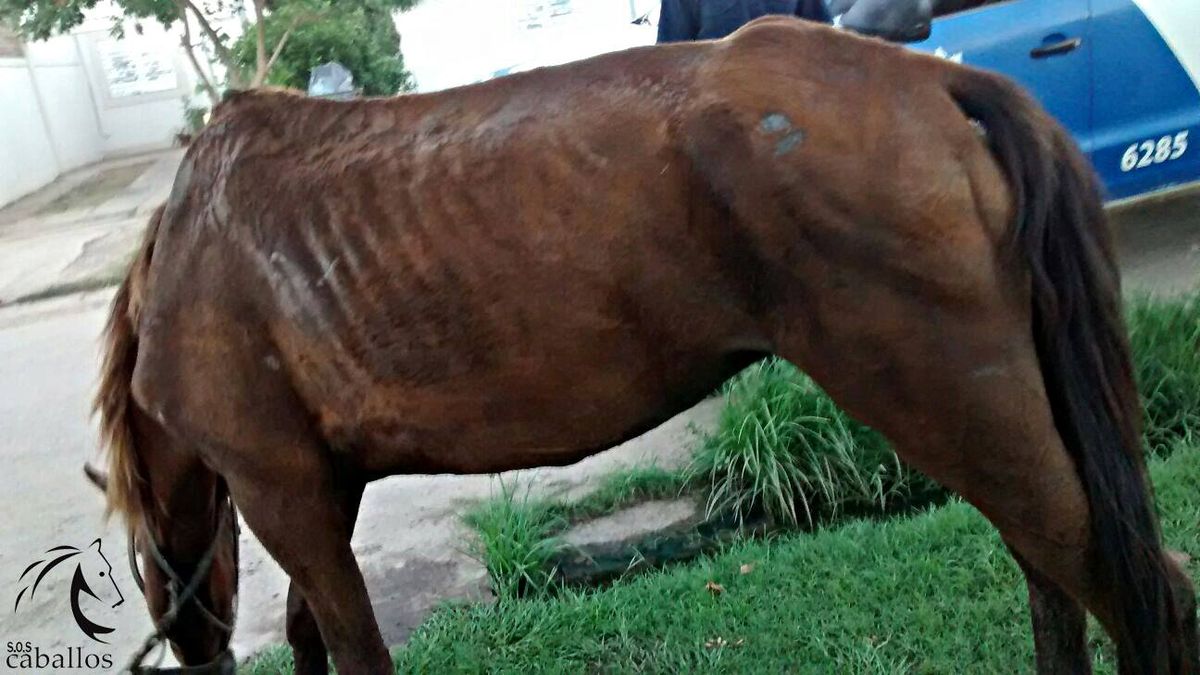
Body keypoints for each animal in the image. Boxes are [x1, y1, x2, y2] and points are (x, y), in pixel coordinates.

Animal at [88, 16, 1197, 675]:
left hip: (952, 401)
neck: (184, 262)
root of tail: (927, 82)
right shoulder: (330, 487)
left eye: (140, 563)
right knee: (1055, 574)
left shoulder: (282, 491)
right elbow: (308, 632)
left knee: (1127, 582)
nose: (195, 652)